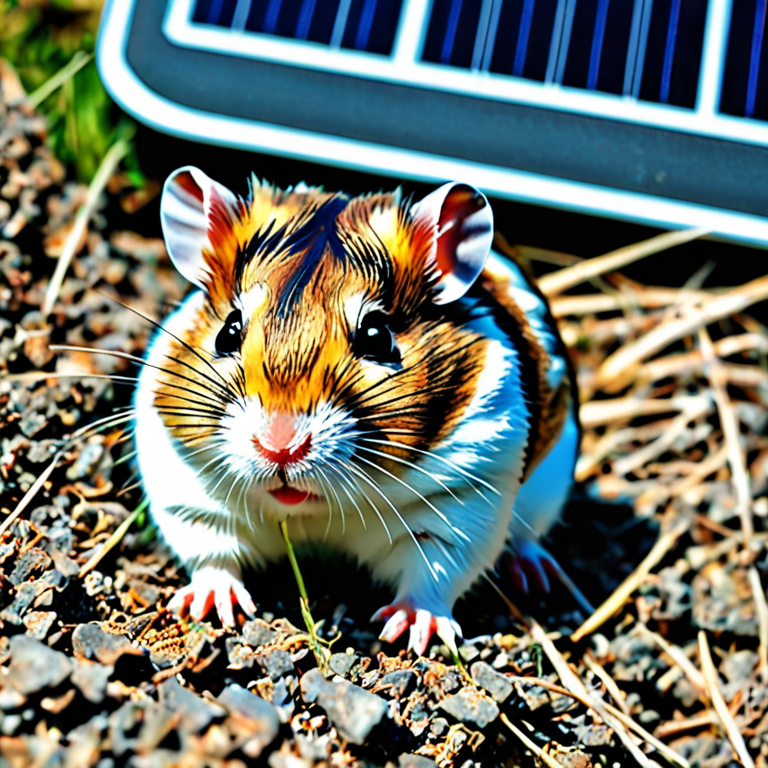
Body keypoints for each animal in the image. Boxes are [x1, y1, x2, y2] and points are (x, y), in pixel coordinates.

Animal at [134, 166, 578, 654]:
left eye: (376, 336)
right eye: (228, 332)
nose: (279, 447)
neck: (313, 512)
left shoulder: (462, 504)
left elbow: (433, 576)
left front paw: (409, 630)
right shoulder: (186, 491)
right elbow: (211, 553)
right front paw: (210, 609)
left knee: (527, 539)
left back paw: (537, 577)